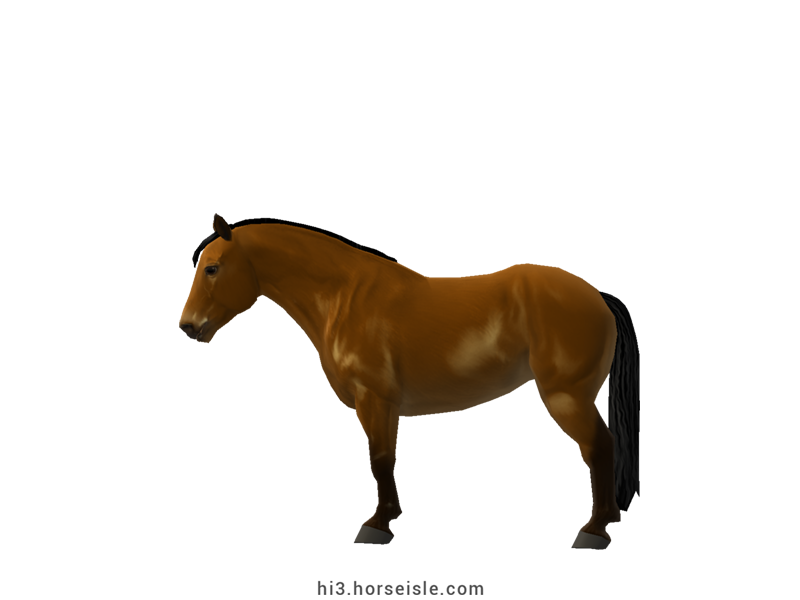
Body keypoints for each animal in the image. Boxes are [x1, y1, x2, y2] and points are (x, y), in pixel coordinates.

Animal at [180, 215, 639, 540]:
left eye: (213, 268)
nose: (188, 325)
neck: (344, 296)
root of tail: (596, 297)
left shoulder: (373, 396)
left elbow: (379, 457)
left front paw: (380, 521)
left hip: (568, 395)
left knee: (600, 448)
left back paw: (596, 526)